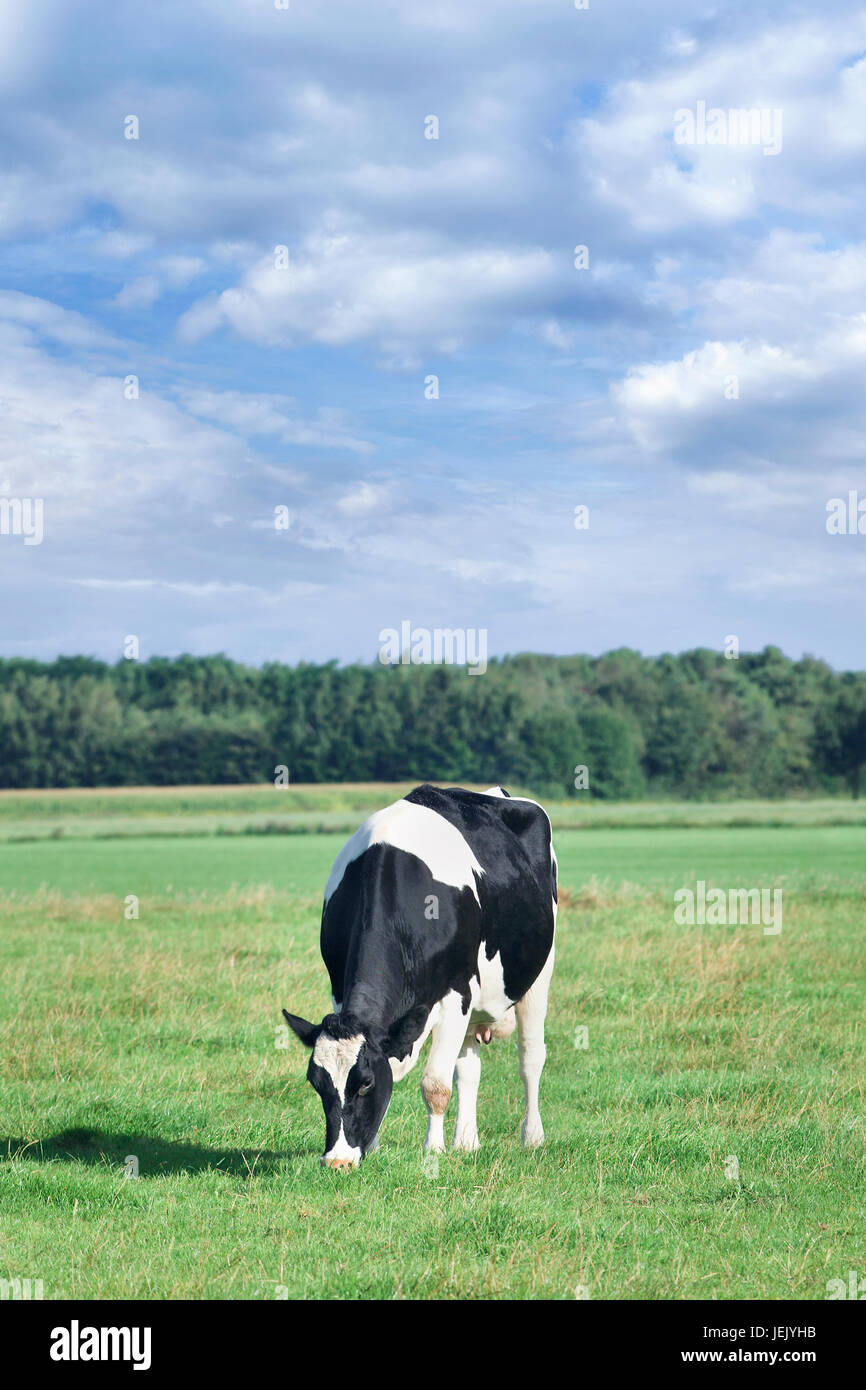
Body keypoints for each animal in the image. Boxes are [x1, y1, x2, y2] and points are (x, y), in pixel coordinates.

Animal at [282, 783, 557, 1169]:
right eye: (317, 1083)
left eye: (365, 1083)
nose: (336, 1160)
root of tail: (496, 792)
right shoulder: (340, 991)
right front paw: (374, 1147)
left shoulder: (457, 991)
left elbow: (435, 1084)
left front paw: (433, 1151)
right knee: (469, 1069)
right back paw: (466, 1142)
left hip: (540, 972)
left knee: (530, 1057)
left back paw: (532, 1137)